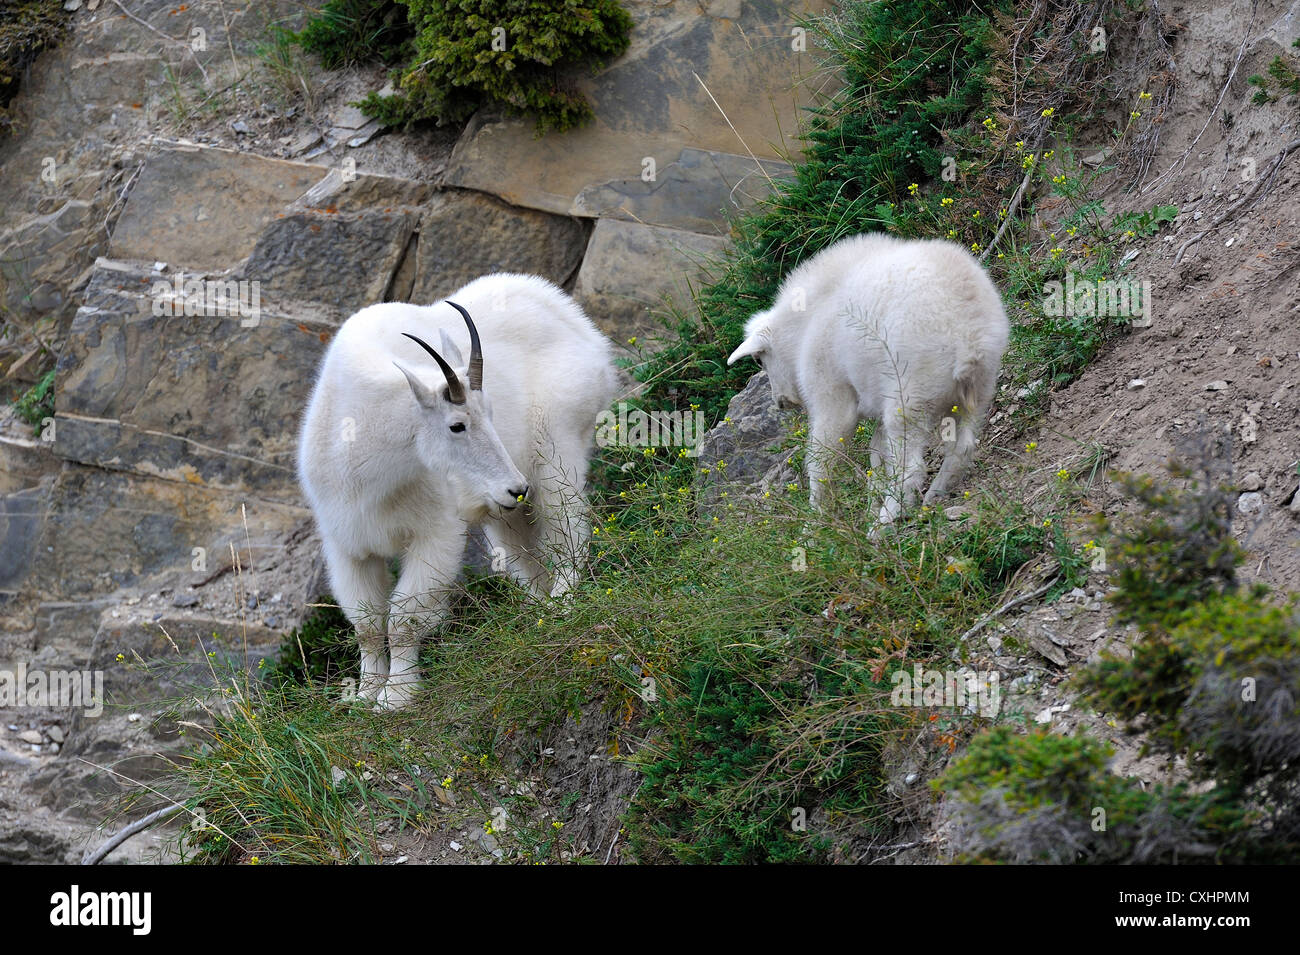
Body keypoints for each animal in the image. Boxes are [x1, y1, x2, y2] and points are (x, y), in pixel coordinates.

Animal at [298, 273, 619, 709]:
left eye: (491, 414)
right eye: (457, 425)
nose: (517, 486)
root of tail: (576, 322)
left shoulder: (435, 533)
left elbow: (404, 616)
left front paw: (396, 696)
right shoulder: (347, 545)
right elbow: (366, 623)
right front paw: (364, 696)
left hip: (558, 451)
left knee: (569, 529)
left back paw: (563, 605)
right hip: (505, 509)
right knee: (523, 553)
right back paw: (537, 613)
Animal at [727, 234, 1009, 524]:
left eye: (759, 359)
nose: (780, 402)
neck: (805, 323)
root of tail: (971, 338)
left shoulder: (832, 396)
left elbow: (821, 462)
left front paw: (817, 521)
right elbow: (878, 459)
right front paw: (871, 502)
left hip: (910, 399)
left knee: (911, 468)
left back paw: (884, 523)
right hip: (978, 391)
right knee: (960, 449)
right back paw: (933, 496)